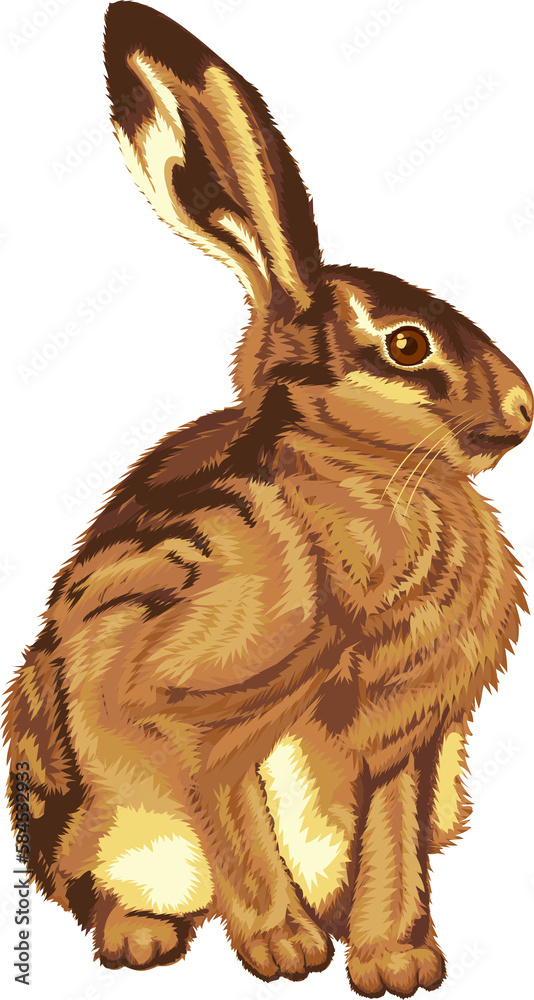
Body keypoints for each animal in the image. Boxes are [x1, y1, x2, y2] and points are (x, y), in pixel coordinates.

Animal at [4, 1, 532, 996]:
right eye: (407, 345)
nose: (525, 410)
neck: (362, 489)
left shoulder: (407, 747)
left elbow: (393, 849)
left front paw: (397, 961)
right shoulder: (192, 709)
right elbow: (237, 824)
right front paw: (286, 951)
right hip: (102, 812)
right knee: (105, 887)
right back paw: (142, 941)